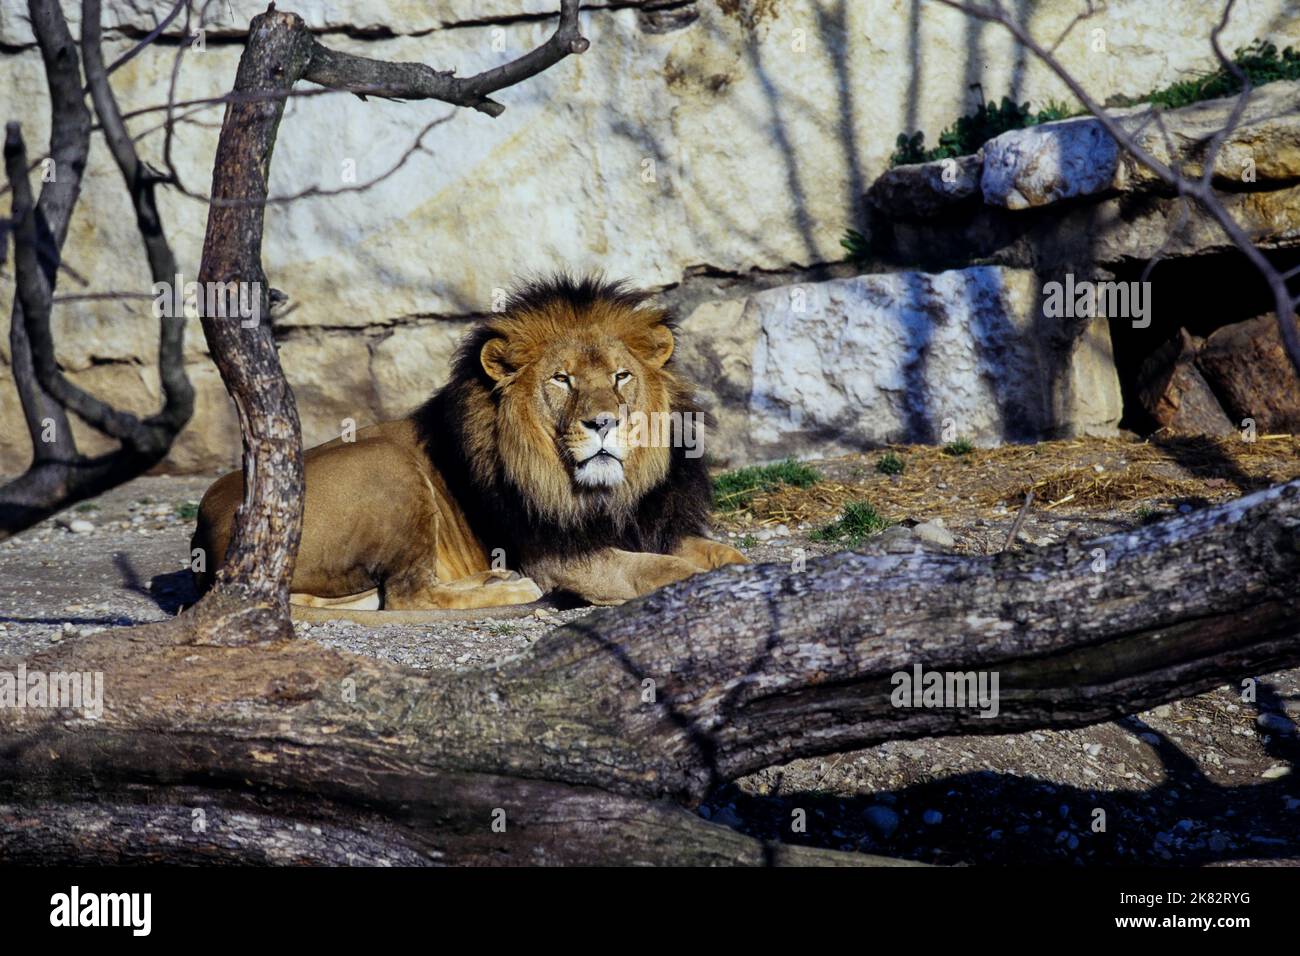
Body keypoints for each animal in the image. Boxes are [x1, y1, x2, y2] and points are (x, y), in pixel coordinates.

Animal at [192, 276, 747, 621]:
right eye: (561, 379)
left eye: (621, 376)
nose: (604, 423)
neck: (606, 494)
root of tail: (205, 525)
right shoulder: (558, 558)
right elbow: (655, 569)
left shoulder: (652, 526)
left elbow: (722, 552)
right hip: (387, 464)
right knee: (407, 598)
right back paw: (509, 587)